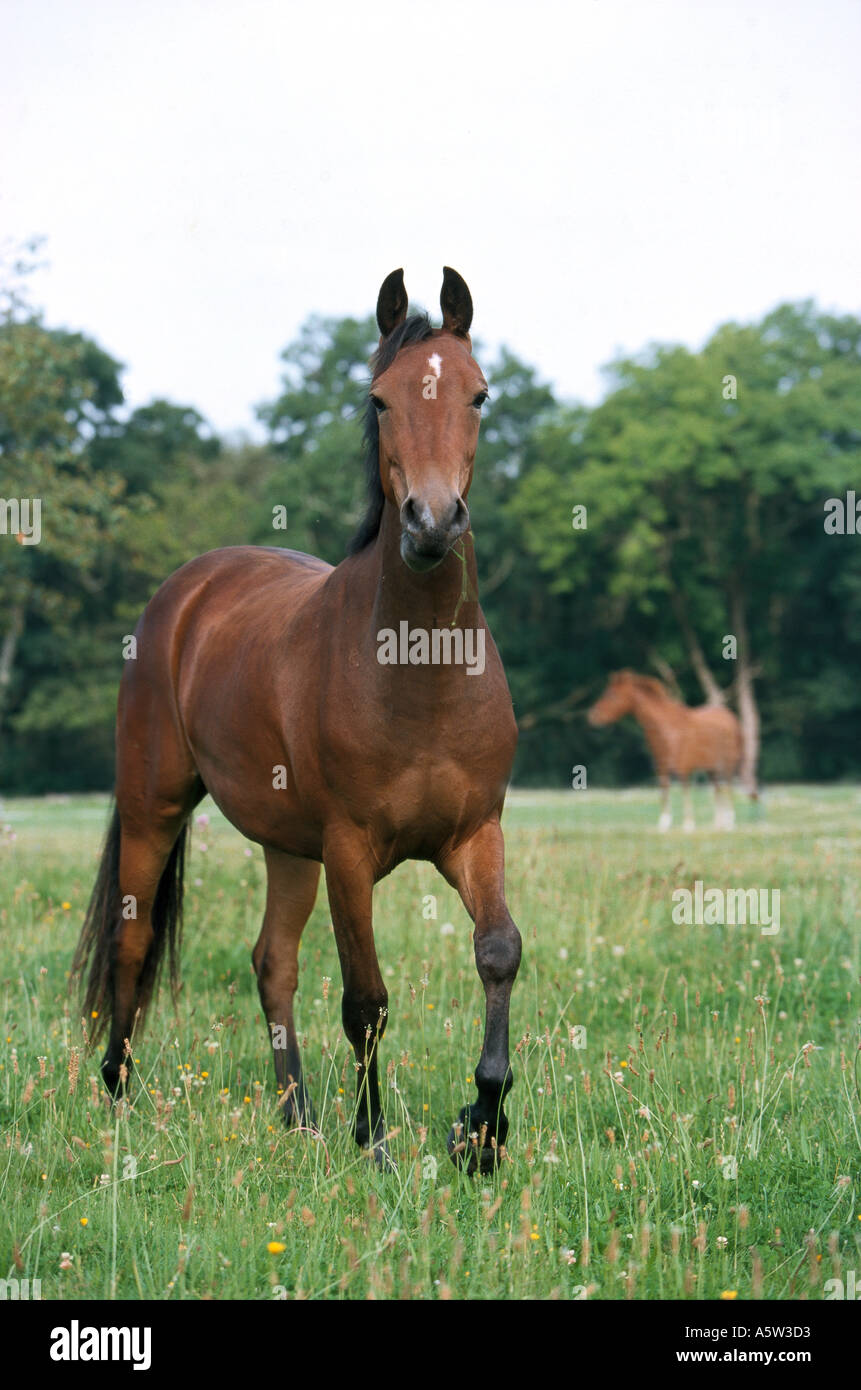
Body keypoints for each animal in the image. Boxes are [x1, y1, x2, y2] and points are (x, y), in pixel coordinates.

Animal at [73, 267, 522, 1175]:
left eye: (479, 395)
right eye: (380, 399)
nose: (431, 521)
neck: (419, 668)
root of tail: (187, 592)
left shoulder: (474, 835)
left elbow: (497, 952)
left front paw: (482, 1127)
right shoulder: (350, 849)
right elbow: (366, 999)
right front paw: (375, 1143)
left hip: (288, 848)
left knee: (271, 962)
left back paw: (298, 1116)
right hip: (154, 807)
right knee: (133, 945)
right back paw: (119, 1097)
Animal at [587, 670, 743, 831]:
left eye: (612, 695)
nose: (592, 716)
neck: (667, 729)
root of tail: (731, 718)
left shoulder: (683, 768)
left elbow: (685, 791)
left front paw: (688, 824)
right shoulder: (660, 767)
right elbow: (664, 790)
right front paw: (664, 823)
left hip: (727, 766)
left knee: (728, 788)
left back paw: (729, 822)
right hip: (711, 769)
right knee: (717, 790)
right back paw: (718, 824)